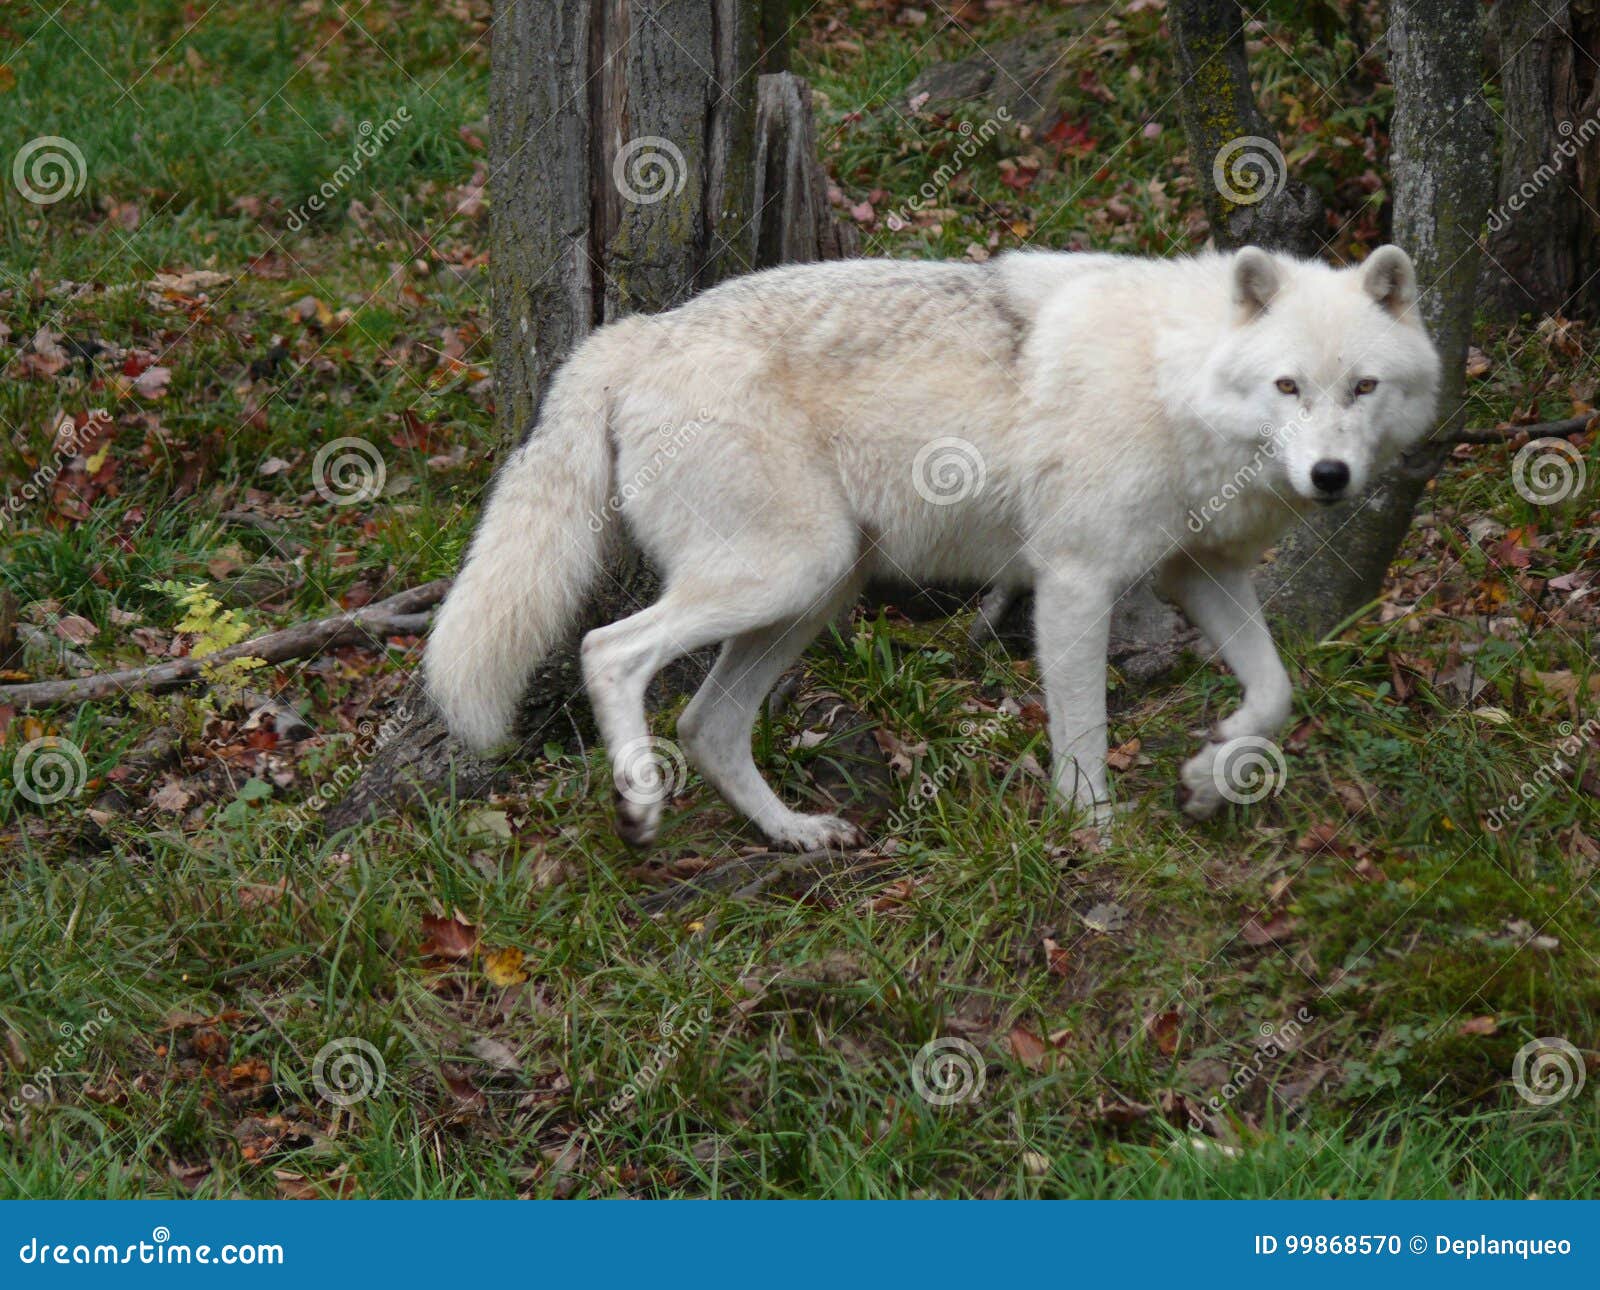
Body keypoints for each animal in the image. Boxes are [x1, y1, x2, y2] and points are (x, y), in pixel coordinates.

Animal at [424, 246, 1441, 849]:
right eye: (1286, 386)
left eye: (1362, 387)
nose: (1331, 477)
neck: (1173, 381)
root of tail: (635, 332)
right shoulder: (1075, 583)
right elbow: (1083, 733)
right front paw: (1094, 835)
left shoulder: (1202, 575)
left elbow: (1275, 693)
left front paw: (1212, 772)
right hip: (784, 575)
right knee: (610, 649)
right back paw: (639, 802)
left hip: (816, 594)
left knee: (707, 726)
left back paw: (796, 834)